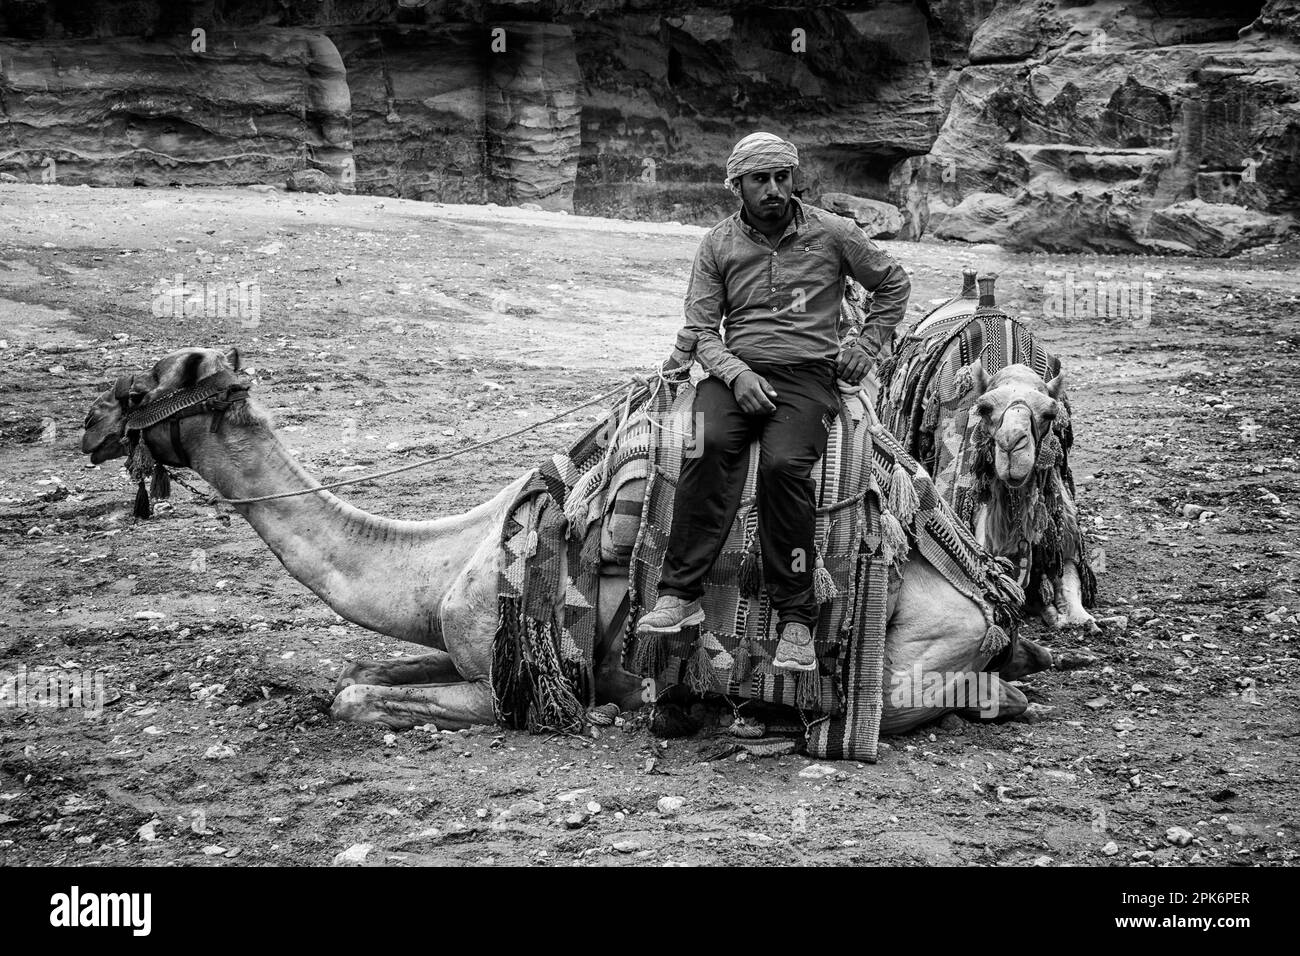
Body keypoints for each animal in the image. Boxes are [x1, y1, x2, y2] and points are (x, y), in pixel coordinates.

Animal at [81, 346, 1051, 732]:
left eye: (144, 387)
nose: (90, 423)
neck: (446, 560)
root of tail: (991, 599)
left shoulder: (514, 680)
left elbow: (355, 696)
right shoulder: (455, 644)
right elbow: (359, 673)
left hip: (913, 653)